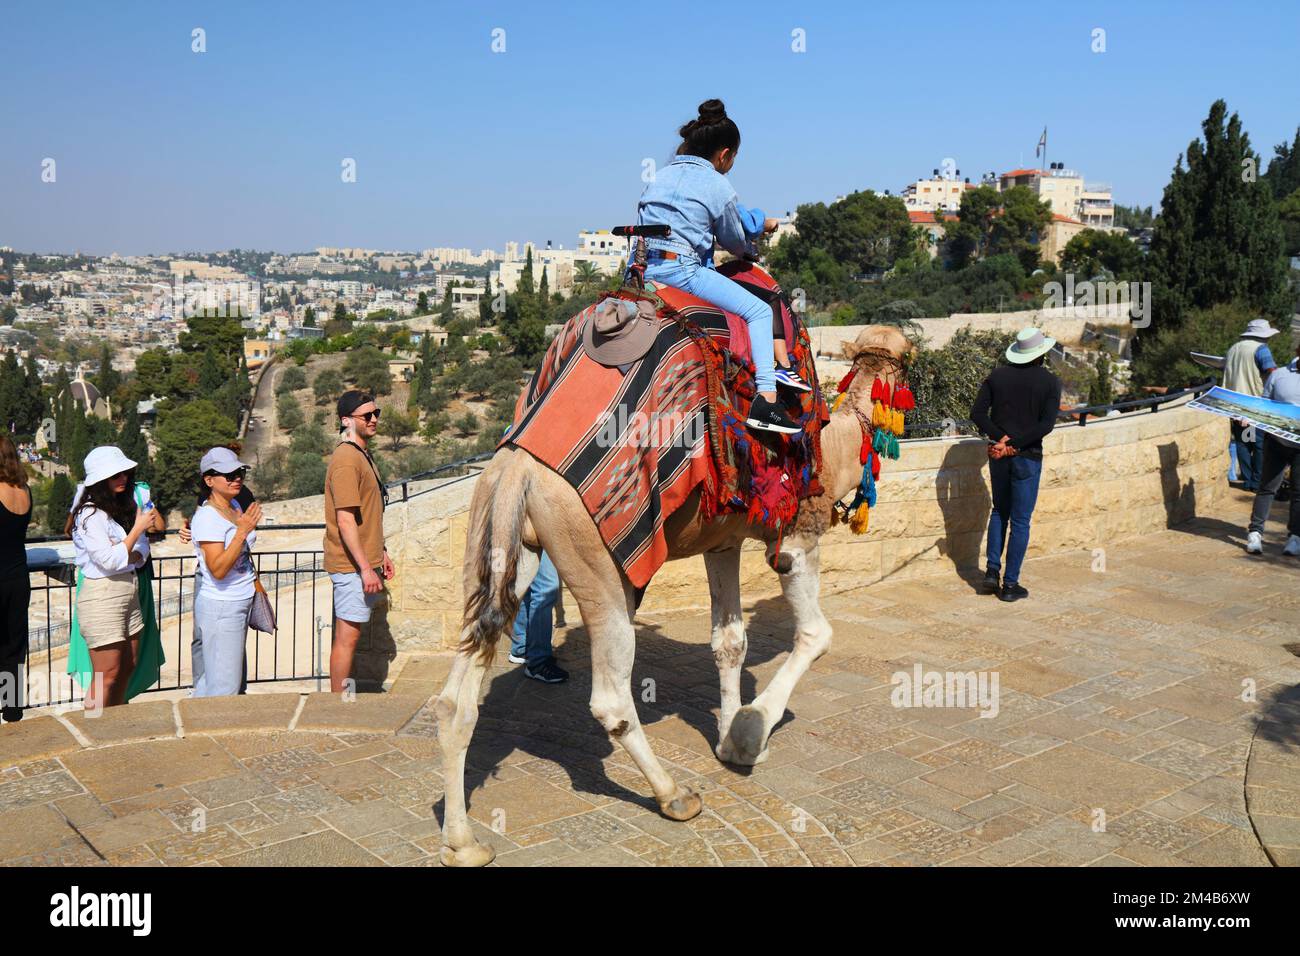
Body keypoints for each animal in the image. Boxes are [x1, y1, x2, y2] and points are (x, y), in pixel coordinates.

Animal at [435, 324, 913, 866]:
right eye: (909, 358)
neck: (836, 444)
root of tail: (518, 468)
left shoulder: (723, 542)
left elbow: (730, 643)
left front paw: (728, 742)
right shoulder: (796, 536)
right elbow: (816, 635)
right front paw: (750, 732)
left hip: (503, 545)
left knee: (458, 691)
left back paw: (463, 843)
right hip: (596, 560)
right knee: (610, 698)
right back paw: (674, 796)